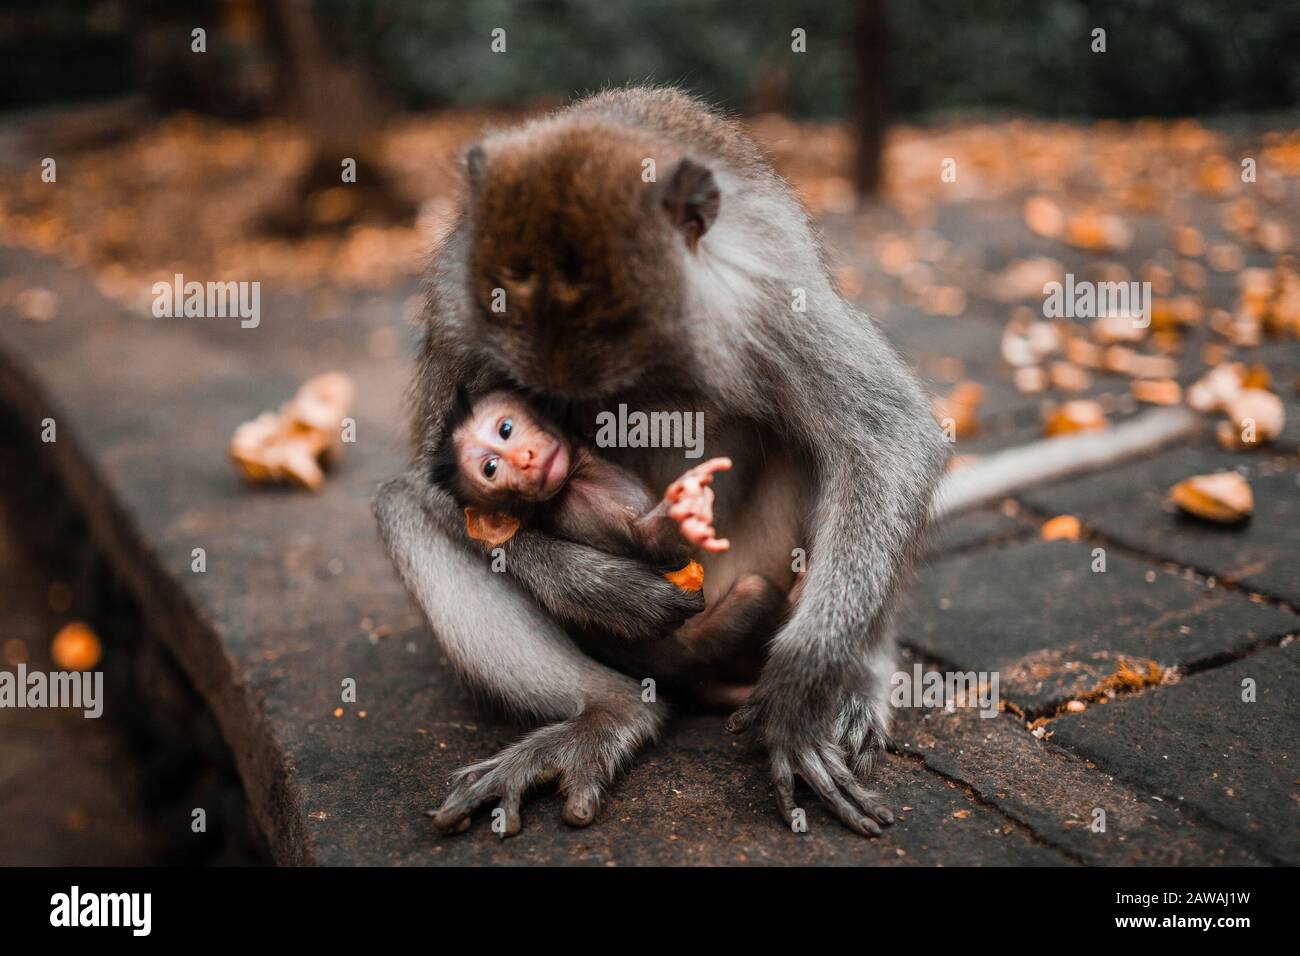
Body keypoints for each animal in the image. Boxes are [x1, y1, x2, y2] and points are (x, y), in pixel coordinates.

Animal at [426, 387, 788, 680]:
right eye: (491, 469)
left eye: (505, 429)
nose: (523, 459)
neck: (577, 472)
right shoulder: (586, 508)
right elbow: (653, 544)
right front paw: (683, 512)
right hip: (694, 644)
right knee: (753, 592)